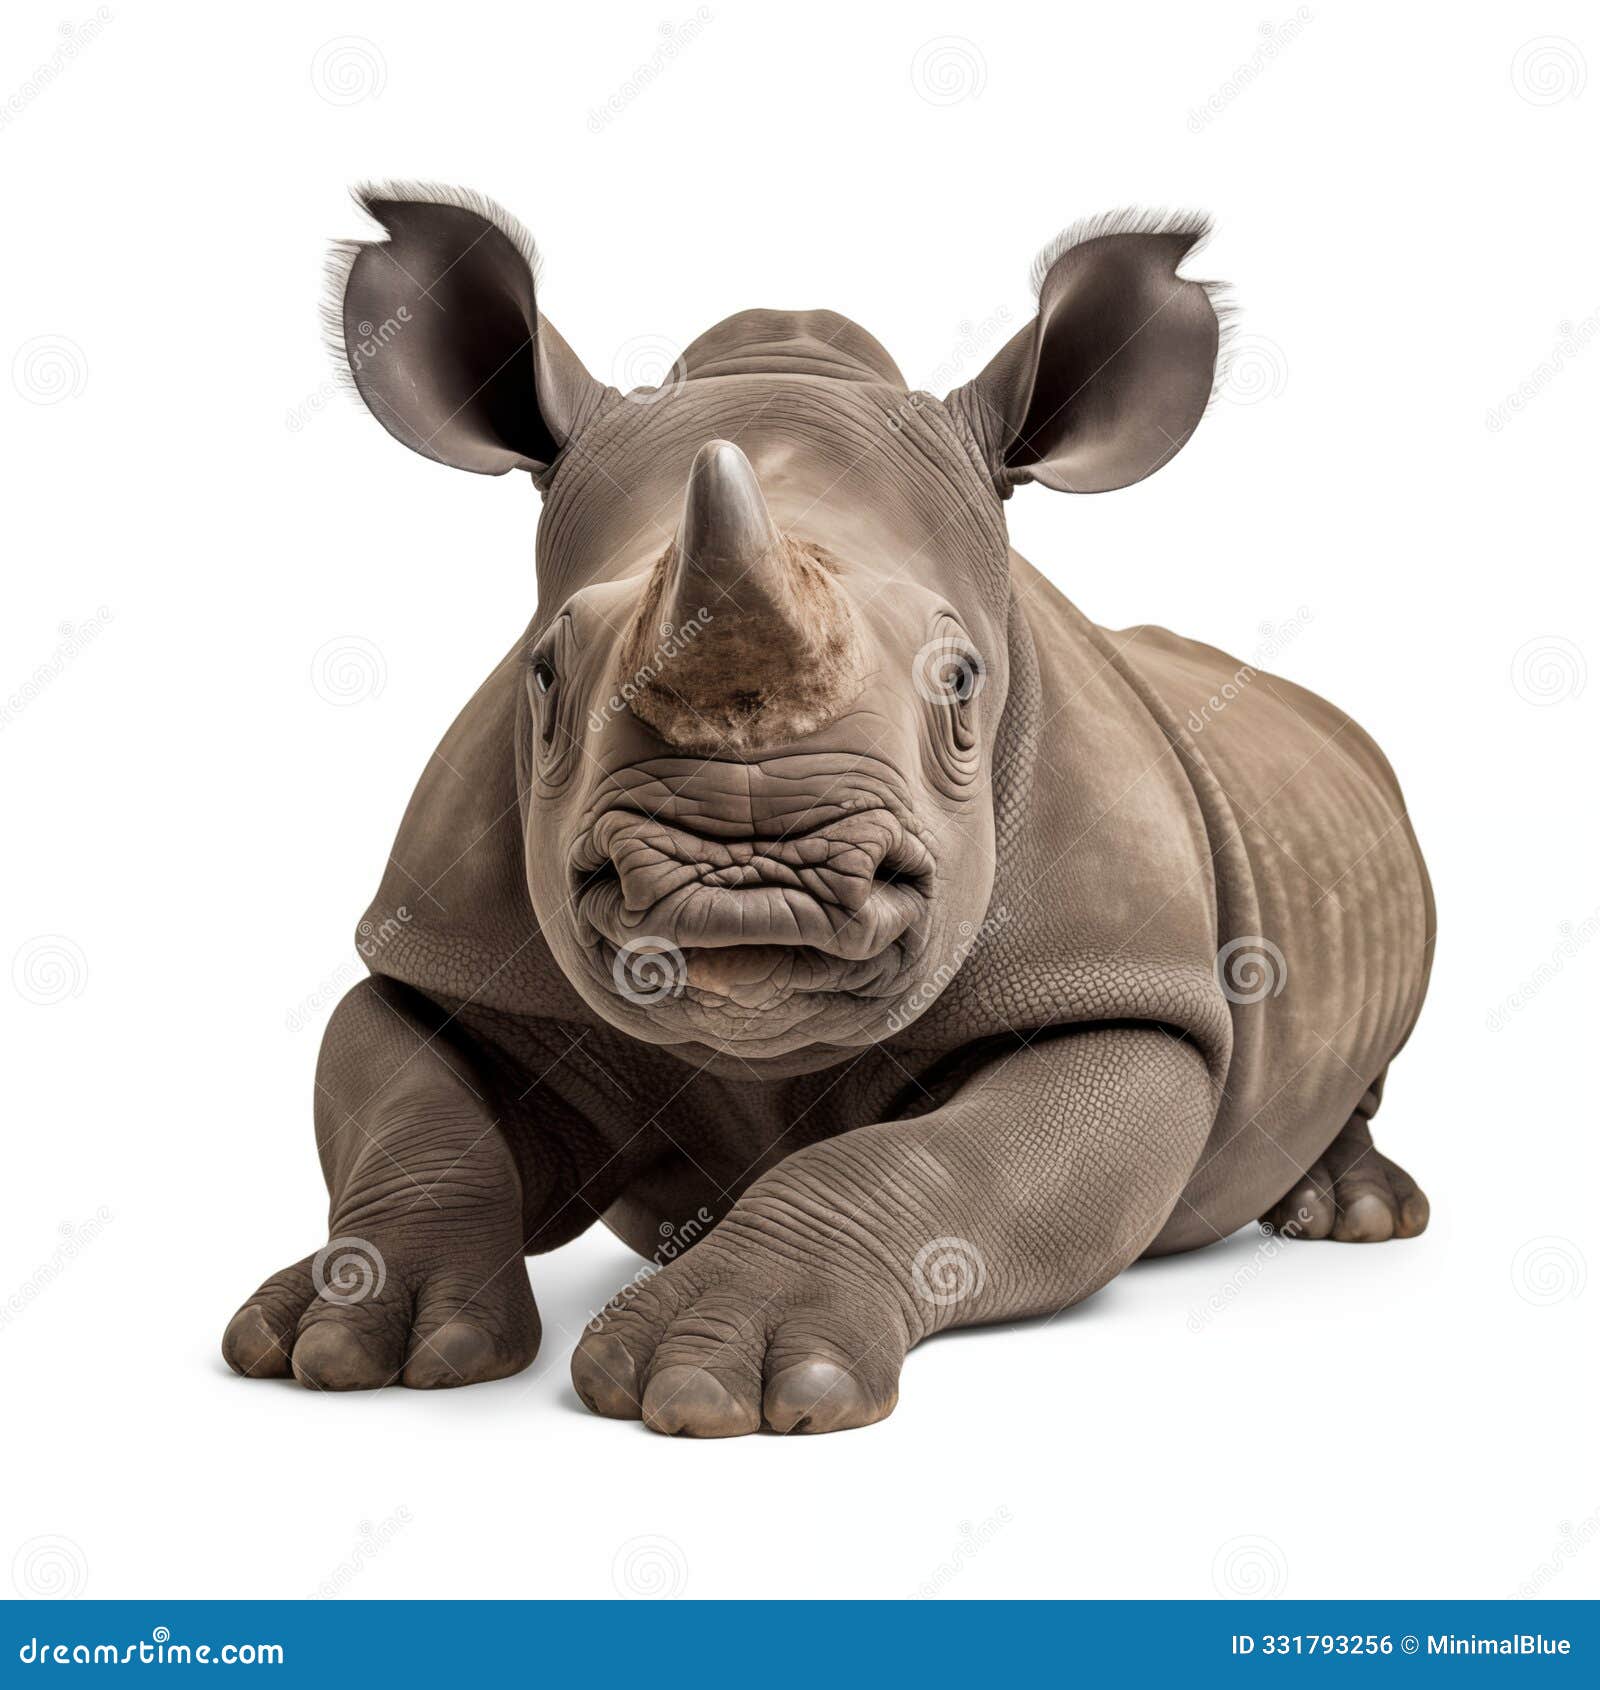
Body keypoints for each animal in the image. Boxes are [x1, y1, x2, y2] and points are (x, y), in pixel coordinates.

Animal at [223, 184, 1434, 1435]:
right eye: (545, 675)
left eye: (961, 683)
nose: (742, 881)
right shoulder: (442, 955)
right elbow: (410, 1112)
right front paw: (343, 1341)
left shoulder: (1124, 989)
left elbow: (937, 1163)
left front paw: (706, 1383)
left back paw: (1352, 1216)